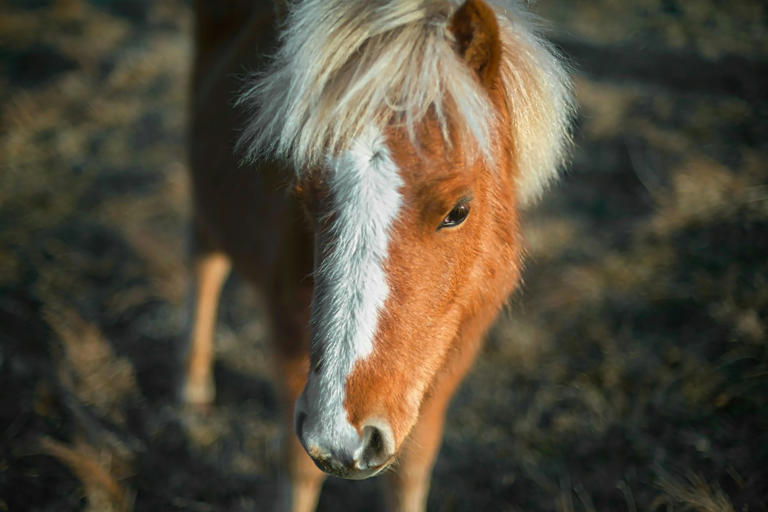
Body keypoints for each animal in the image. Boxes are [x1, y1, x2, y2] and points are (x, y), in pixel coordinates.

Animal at [182, 0, 573, 510]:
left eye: (458, 211)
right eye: (304, 194)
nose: (341, 439)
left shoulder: (453, 352)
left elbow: (413, 466)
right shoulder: (287, 335)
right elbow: (297, 470)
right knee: (204, 263)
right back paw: (192, 388)